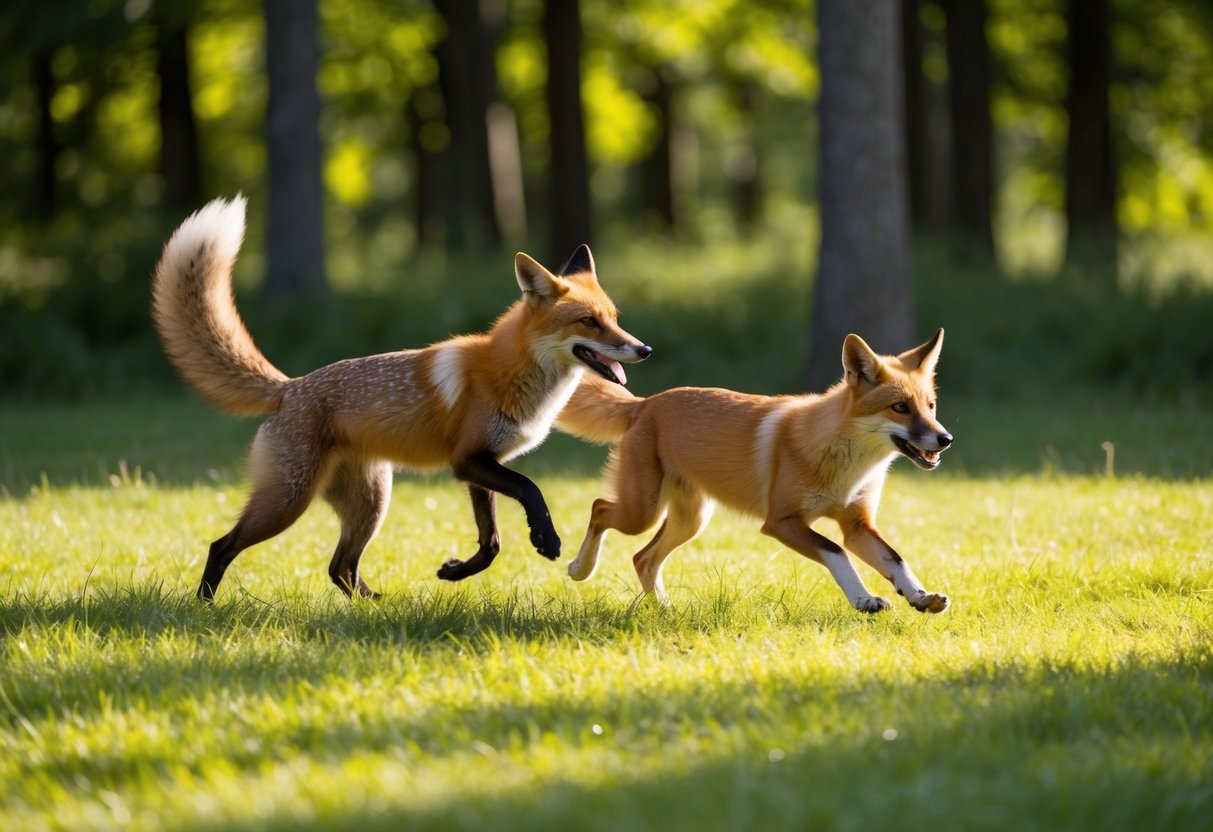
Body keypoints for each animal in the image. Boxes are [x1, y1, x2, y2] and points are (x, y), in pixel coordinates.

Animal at [151, 195, 651, 603]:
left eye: (615, 319)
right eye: (589, 322)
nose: (643, 349)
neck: (512, 375)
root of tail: (289, 387)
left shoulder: (480, 467)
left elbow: (491, 544)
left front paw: (455, 572)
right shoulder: (470, 460)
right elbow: (532, 489)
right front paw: (546, 539)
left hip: (372, 504)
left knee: (339, 568)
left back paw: (379, 607)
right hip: (288, 500)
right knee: (223, 545)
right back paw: (205, 606)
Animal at [555, 330, 953, 614]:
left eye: (931, 406)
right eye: (900, 407)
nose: (945, 439)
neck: (845, 466)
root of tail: (645, 403)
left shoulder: (857, 525)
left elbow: (896, 560)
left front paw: (919, 596)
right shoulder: (782, 522)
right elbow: (837, 553)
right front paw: (864, 600)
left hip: (690, 521)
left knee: (643, 558)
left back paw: (664, 610)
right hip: (642, 512)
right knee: (599, 509)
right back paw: (580, 568)